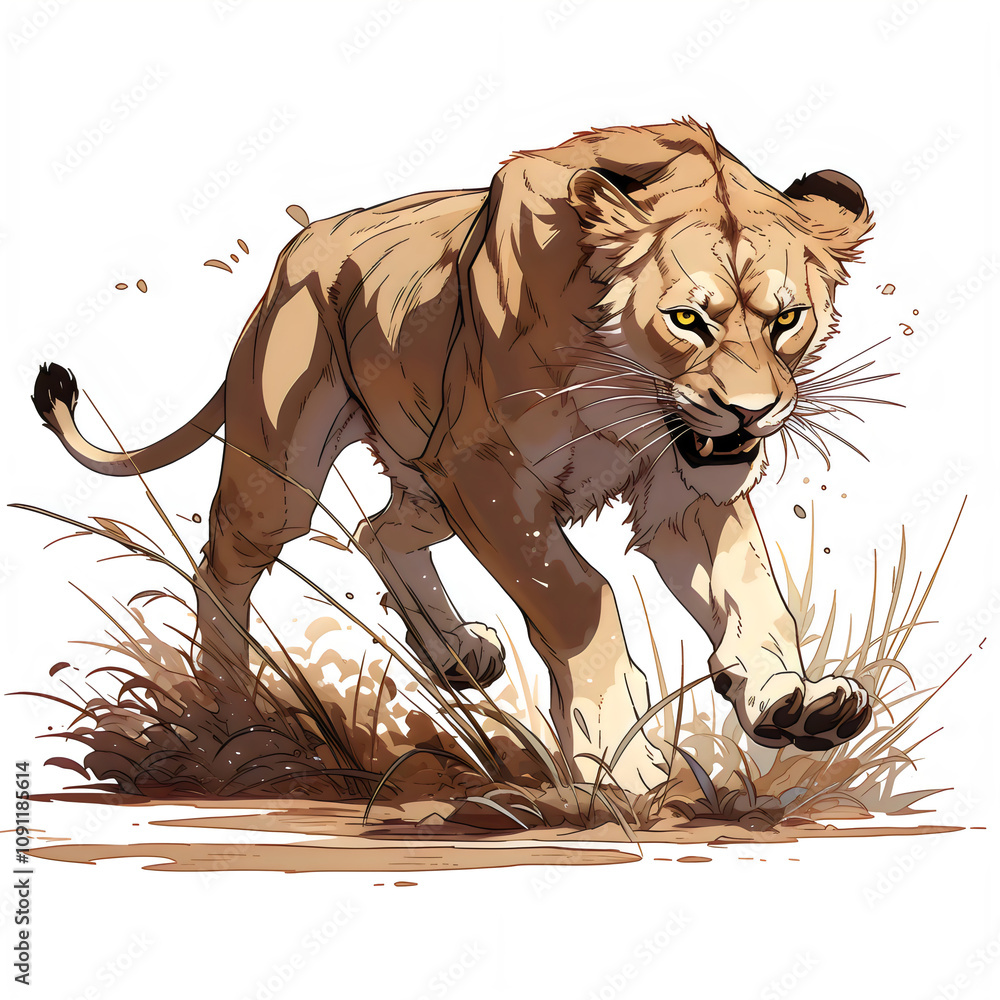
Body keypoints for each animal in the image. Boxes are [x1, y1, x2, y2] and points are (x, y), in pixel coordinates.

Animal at [32, 119, 874, 794]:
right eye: (688, 320)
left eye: (788, 319)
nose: (752, 411)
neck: (627, 397)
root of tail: (292, 257)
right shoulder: (486, 471)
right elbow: (581, 597)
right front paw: (614, 754)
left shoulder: (680, 492)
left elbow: (753, 592)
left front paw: (794, 702)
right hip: (287, 477)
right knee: (221, 568)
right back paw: (233, 715)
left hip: (428, 481)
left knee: (376, 529)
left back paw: (455, 654)